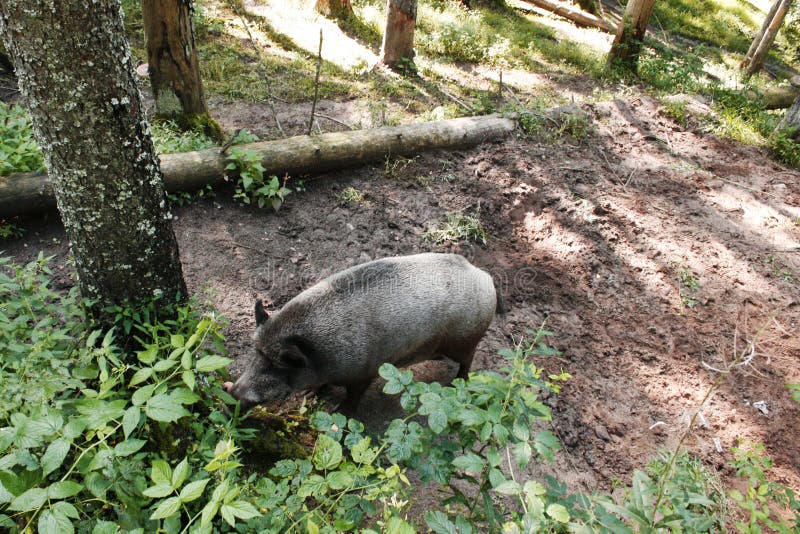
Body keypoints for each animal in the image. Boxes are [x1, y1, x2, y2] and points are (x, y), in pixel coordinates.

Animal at [224, 253, 503, 411]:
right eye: (255, 353)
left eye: (277, 367)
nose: (233, 393)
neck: (319, 353)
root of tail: (484, 276)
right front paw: (308, 394)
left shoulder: (366, 372)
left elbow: (353, 398)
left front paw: (337, 412)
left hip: (464, 339)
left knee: (468, 360)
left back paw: (459, 382)